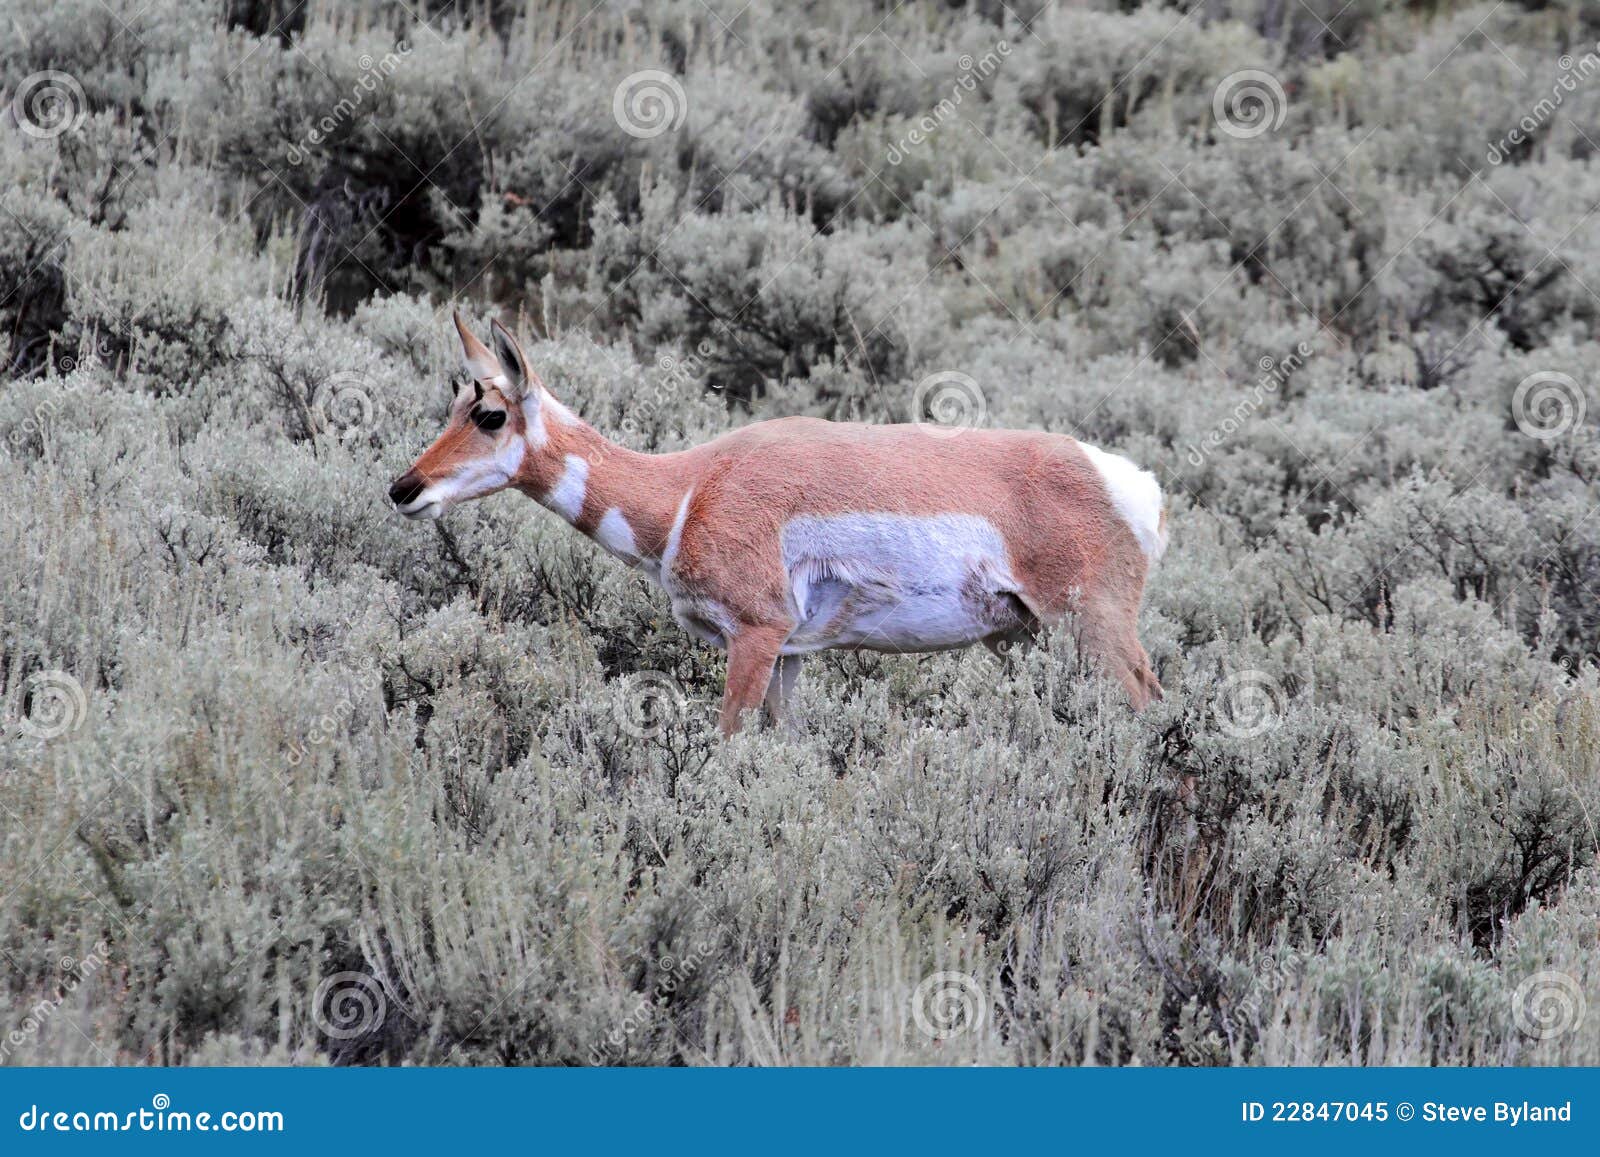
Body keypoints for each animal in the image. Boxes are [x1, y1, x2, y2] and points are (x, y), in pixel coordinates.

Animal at [389, 315, 1168, 735]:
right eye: (454, 402)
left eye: (491, 414)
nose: (403, 489)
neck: (690, 486)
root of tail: (1128, 479)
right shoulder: (792, 654)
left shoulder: (755, 636)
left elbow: (731, 737)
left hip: (1094, 630)